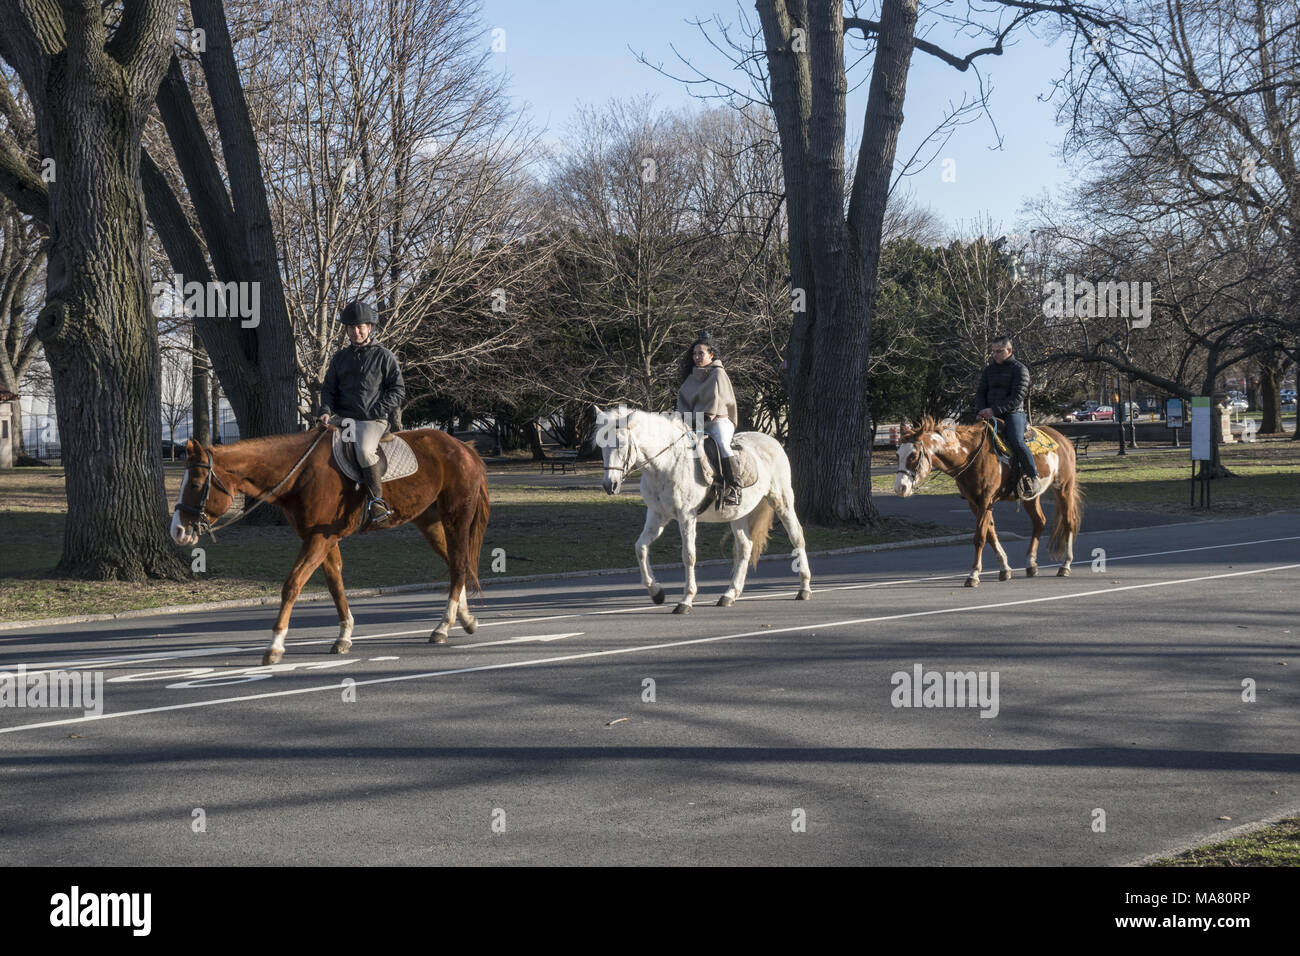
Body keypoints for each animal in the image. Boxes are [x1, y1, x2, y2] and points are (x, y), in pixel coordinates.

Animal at [169, 424, 490, 663]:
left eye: (195, 484)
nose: (178, 531)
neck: (301, 473)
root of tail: (463, 447)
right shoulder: (322, 539)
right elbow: (335, 583)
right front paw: (344, 635)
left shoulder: (319, 539)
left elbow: (293, 585)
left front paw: (275, 645)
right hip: (430, 522)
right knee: (455, 564)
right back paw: (463, 618)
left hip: (456, 517)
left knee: (459, 563)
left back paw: (443, 625)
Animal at [594, 405, 812, 612]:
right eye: (601, 446)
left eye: (621, 444)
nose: (609, 485)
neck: (665, 465)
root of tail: (772, 440)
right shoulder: (657, 515)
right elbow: (640, 548)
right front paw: (656, 592)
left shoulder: (686, 516)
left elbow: (689, 556)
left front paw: (686, 600)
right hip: (738, 514)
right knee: (745, 547)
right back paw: (730, 594)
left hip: (782, 501)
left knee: (797, 537)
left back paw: (804, 588)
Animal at [893, 415, 1084, 587]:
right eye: (897, 454)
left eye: (913, 455)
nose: (900, 488)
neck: (971, 457)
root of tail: (1063, 440)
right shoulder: (975, 503)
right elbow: (990, 534)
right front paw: (1005, 569)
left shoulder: (985, 501)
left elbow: (980, 537)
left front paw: (973, 575)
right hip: (1030, 497)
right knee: (1039, 522)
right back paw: (1031, 565)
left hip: (1064, 487)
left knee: (1069, 521)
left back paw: (1065, 565)